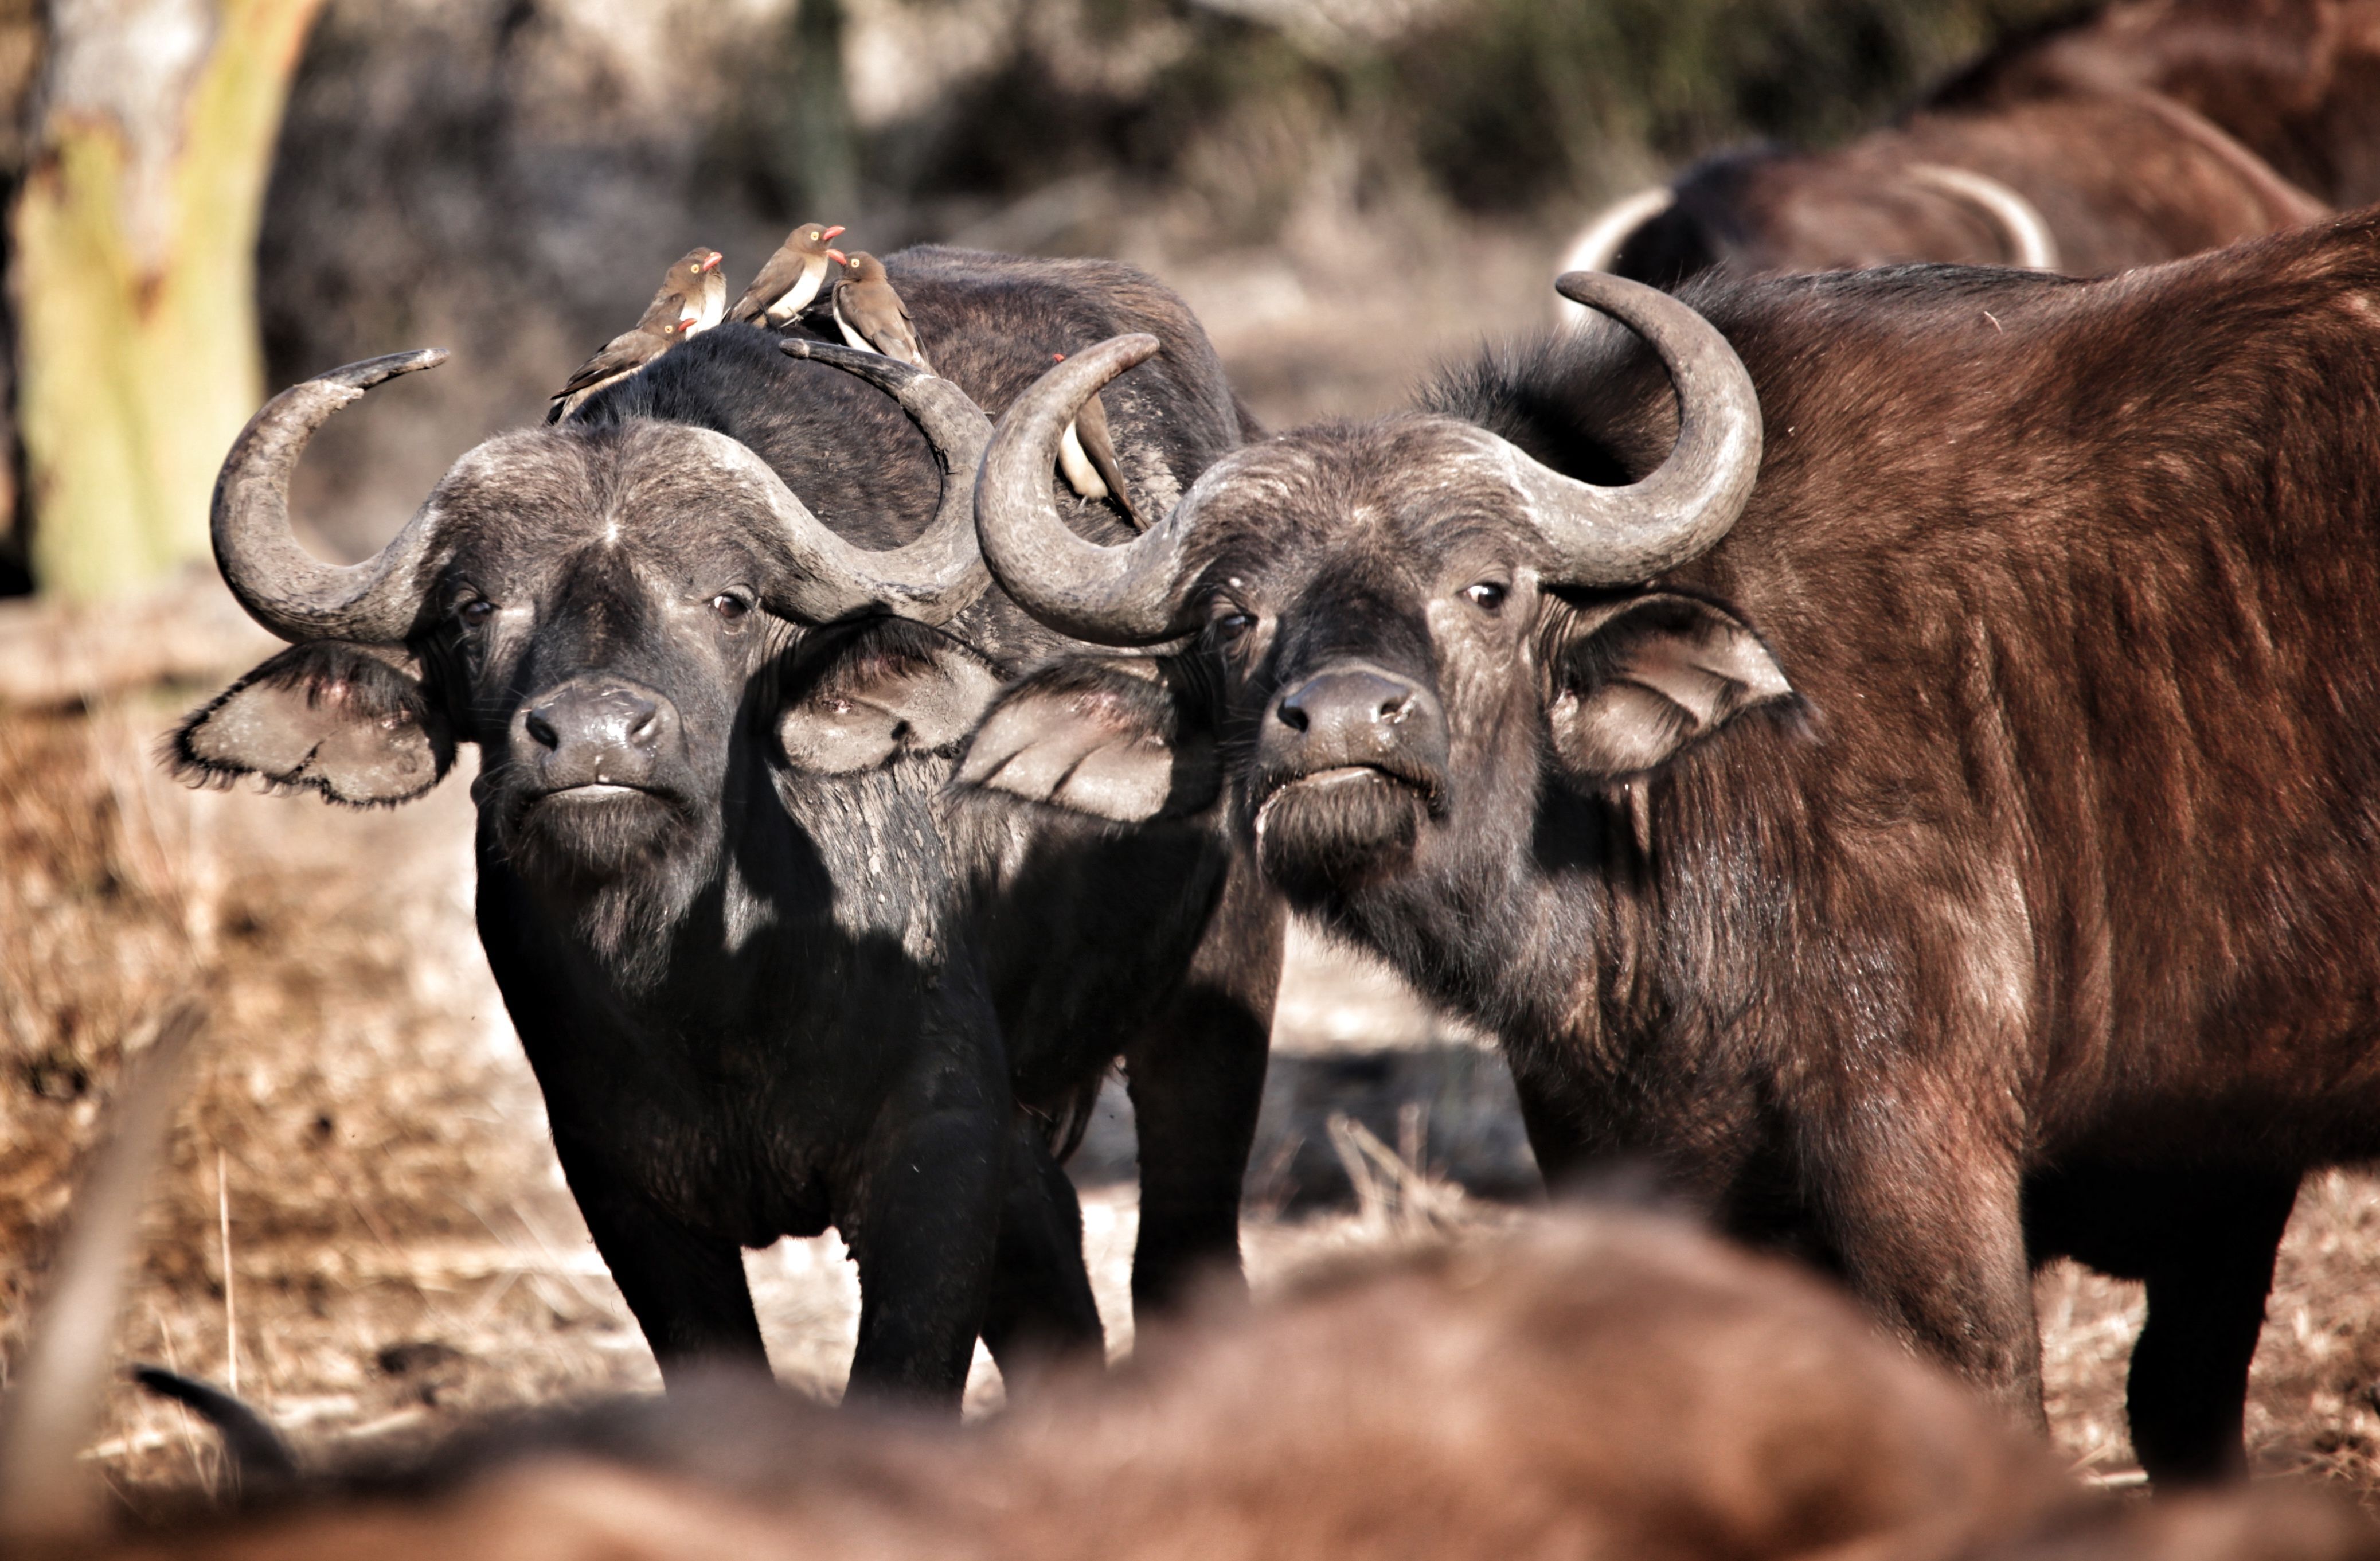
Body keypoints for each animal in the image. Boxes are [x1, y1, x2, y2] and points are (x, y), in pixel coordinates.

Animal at [165, 248, 1283, 1407]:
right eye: (476, 605)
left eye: (730, 600)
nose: (593, 736)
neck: (711, 980)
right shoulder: (623, 1189)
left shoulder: (942, 1153)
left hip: (1219, 988)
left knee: (1180, 1245)